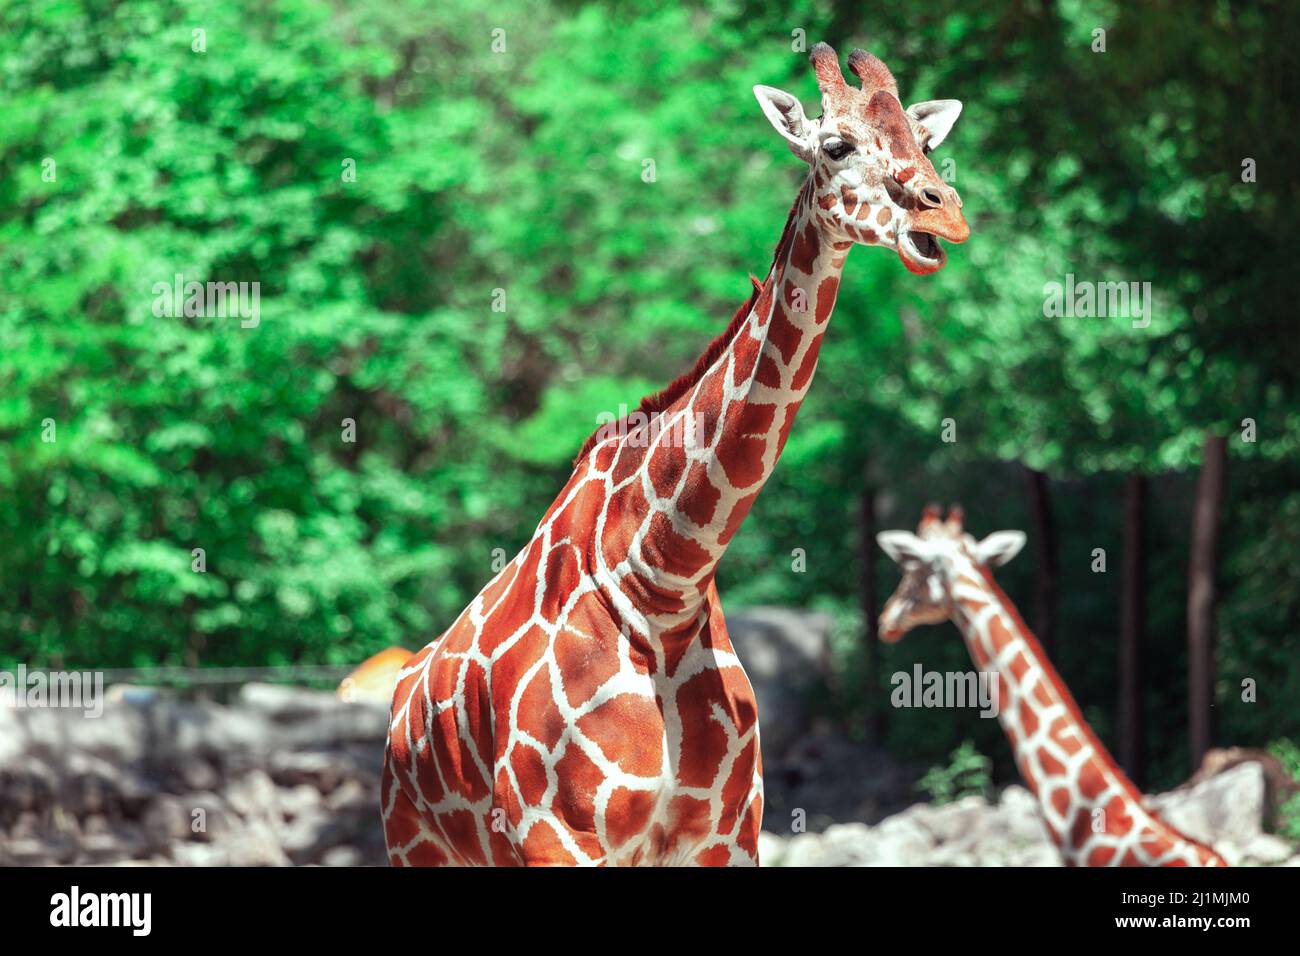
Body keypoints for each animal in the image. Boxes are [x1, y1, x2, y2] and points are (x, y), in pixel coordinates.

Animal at [381, 43, 971, 866]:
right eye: (834, 145)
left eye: (924, 141)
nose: (945, 213)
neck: (662, 583)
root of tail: (403, 697)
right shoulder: (558, 839)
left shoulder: (727, 836)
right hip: (419, 849)